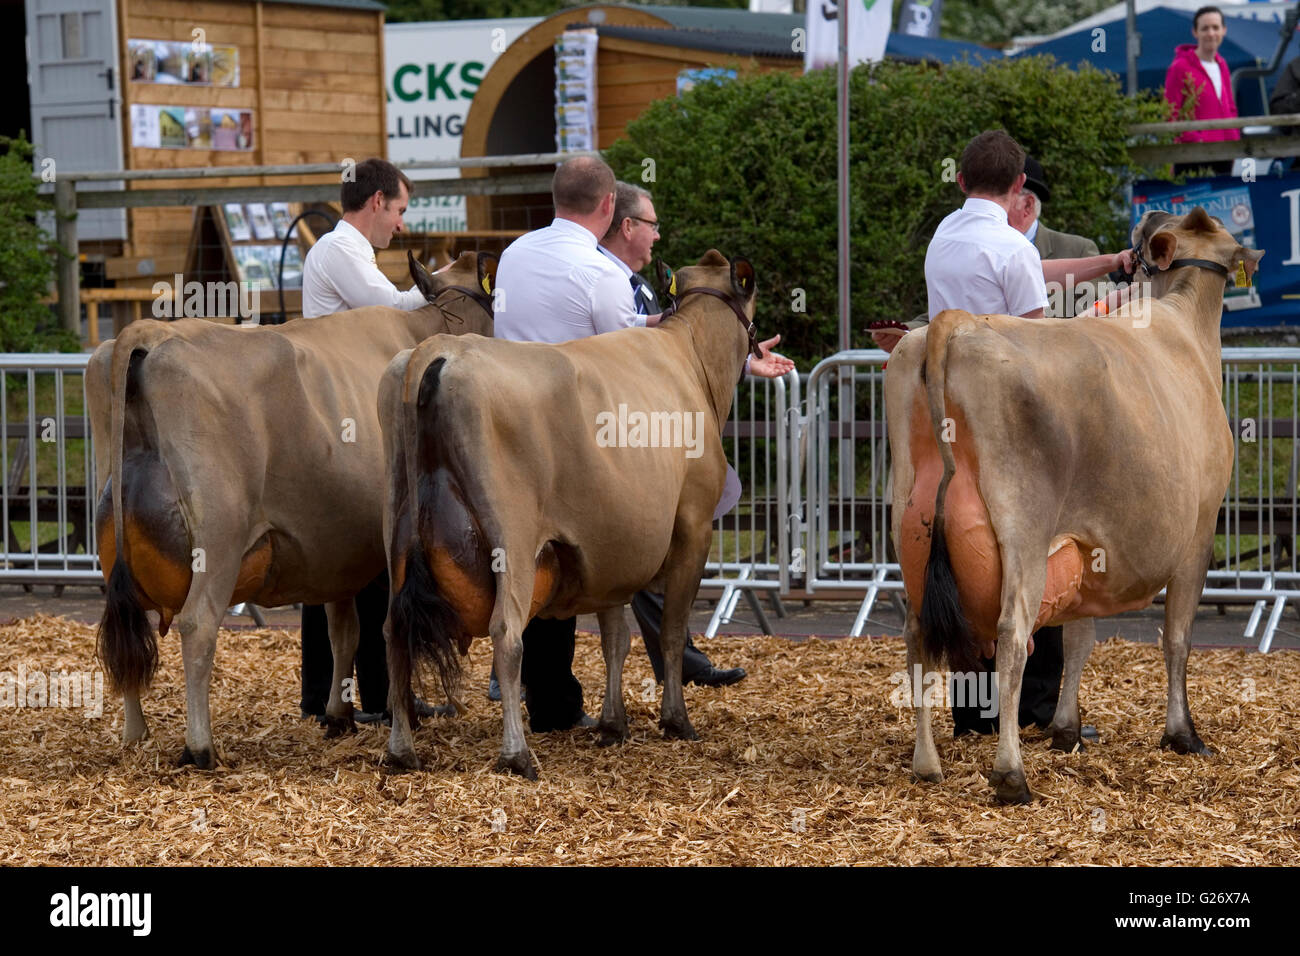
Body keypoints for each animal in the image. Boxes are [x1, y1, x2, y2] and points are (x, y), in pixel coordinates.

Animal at [86, 252, 491, 770]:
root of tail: (149, 334)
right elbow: (382, 627)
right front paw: (402, 713)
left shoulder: (336, 549)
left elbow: (344, 631)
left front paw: (339, 715)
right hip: (218, 537)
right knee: (198, 623)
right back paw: (200, 746)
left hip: (112, 540)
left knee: (126, 623)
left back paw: (135, 732)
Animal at [377, 248, 759, 780]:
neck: (690, 360)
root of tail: (435, 352)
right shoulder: (693, 526)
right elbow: (670, 630)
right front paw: (676, 720)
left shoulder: (612, 545)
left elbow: (615, 638)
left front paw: (613, 724)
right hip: (512, 539)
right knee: (506, 632)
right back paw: (516, 754)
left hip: (397, 527)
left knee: (393, 631)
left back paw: (401, 750)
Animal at [889, 210, 1263, 806]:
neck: (1183, 321)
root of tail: (958, 323)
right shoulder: (1199, 533)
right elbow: (1177, 638)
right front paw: (1182, 734)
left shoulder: (1087, 541)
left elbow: (1079, 639)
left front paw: (1066, 729)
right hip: (1023, 528)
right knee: (1012, 635)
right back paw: (1011, 775)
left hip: (912, 534)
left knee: (916, 634)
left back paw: (926, 764)